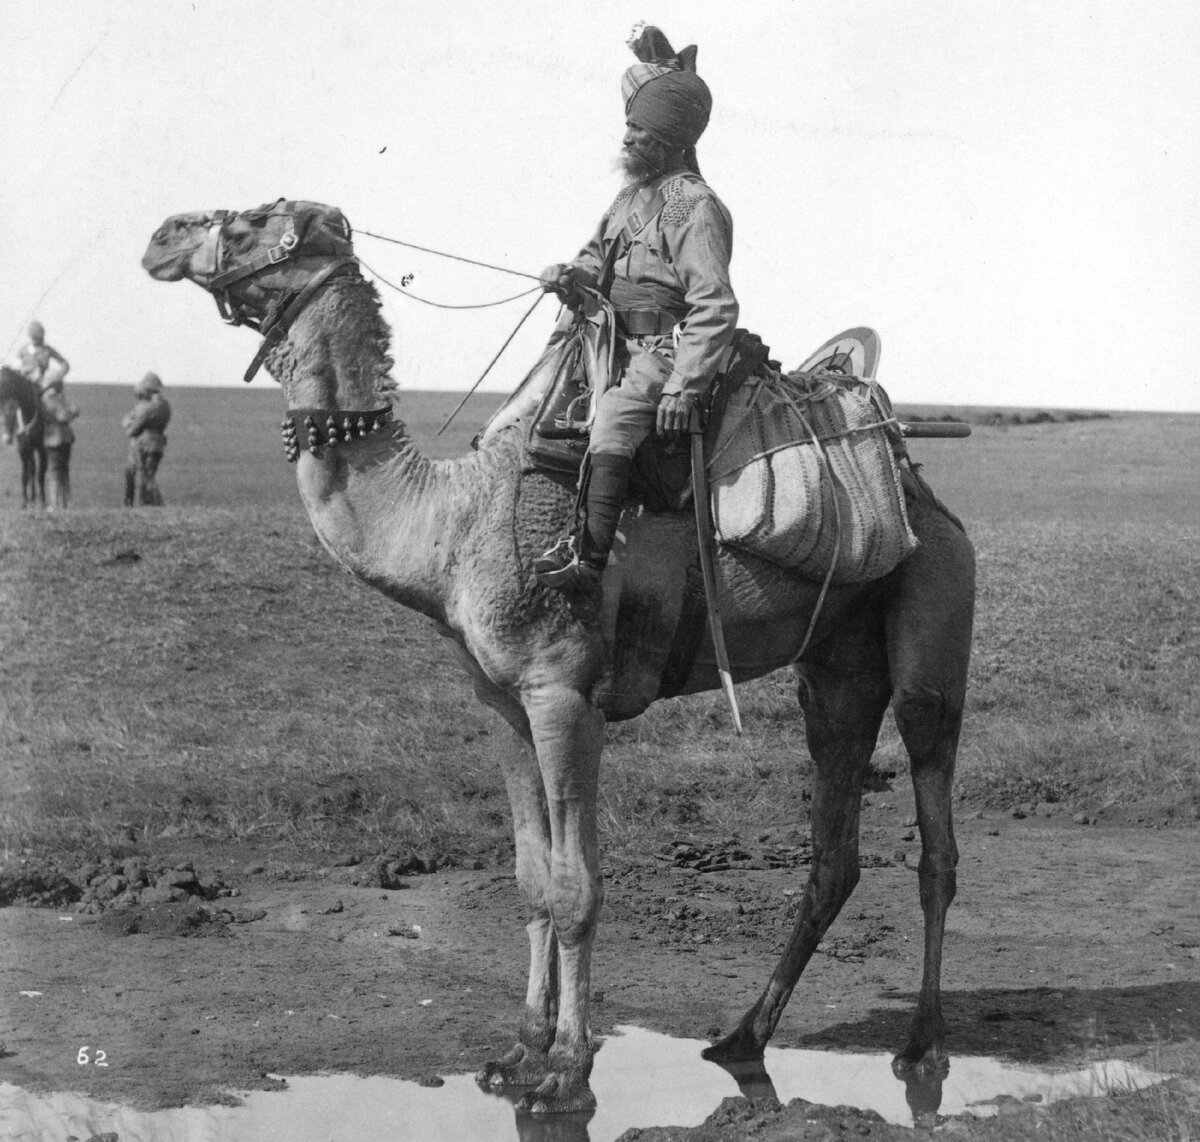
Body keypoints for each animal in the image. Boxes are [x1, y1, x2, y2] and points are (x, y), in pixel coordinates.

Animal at [0, 364, 46, 508]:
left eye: (7, 382)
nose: (7, 439)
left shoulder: (41, 448)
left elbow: (40, 475)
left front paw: (43, 503)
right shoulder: (23, 448)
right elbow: (24, 475)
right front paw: (24, 503)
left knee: (35, 470)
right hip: (28, 449)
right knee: (31, 469)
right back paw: (31, 498)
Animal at [142, 197, 974, 1113]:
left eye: (255, 218)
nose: (162, 237)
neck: (446, 525)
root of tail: (915, 479)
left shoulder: (563, 692)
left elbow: (578, 885)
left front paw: (569, 1070)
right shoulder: (501, 700)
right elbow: (532, 877)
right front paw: (518, 1050)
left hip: (935, 616)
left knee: (935, 833)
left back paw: (922, 1045)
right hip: (834, 669)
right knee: (834, 852)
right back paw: (741, 1037)